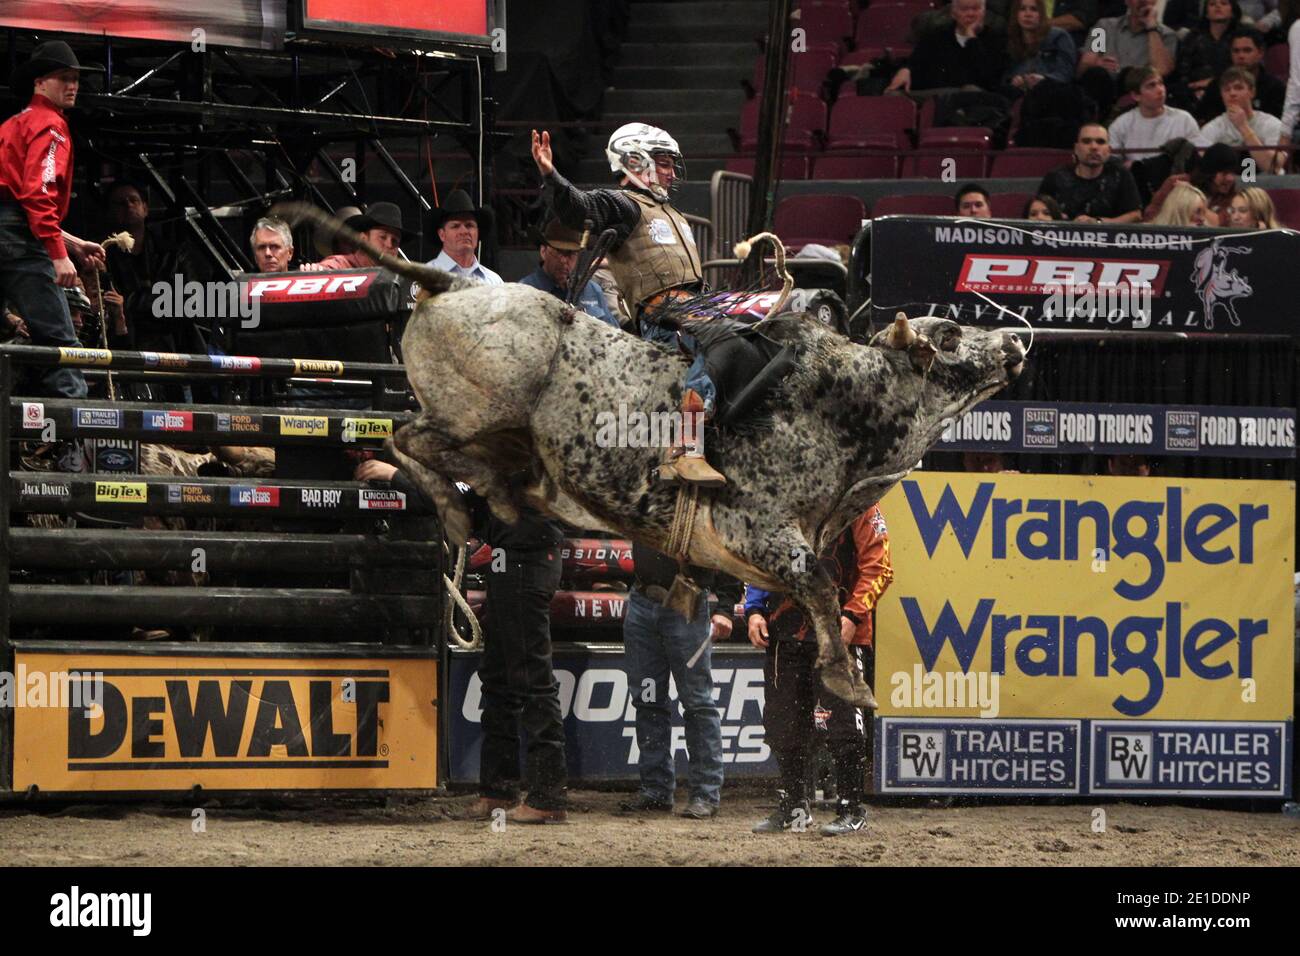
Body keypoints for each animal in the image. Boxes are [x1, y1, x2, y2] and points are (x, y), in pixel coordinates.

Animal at [276, 205, 1026, 708]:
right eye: (950, 333)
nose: (1017, 340)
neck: (841, 402)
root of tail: (450, 285)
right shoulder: (759, 528)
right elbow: (820, 585)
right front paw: (849, 682)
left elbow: (808, 596)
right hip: (480, 406)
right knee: (410, 438)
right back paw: (467, 512)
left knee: (428, 446)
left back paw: (495, 500)